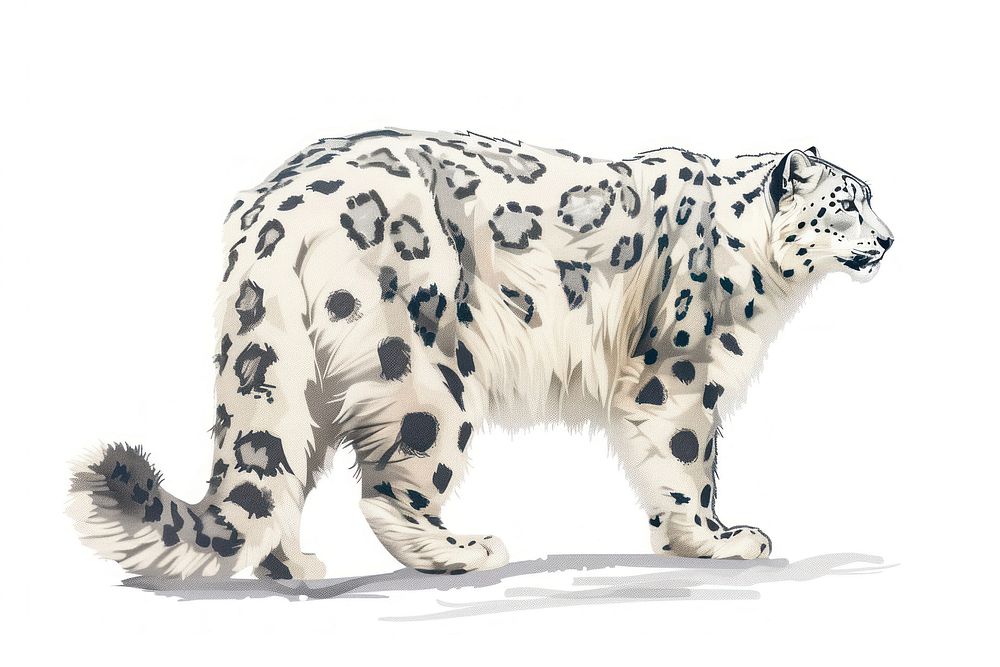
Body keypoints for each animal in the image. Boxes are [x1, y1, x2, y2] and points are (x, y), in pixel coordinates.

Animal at [68, 128, 894, 579]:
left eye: (868, 198)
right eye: (846, 205)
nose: (889, 238)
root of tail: (276, 200)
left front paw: (681, 539)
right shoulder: (680, 370)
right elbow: (690, 459)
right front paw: (717, 539)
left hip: (301, 370)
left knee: (283, 461)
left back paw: (290, 562)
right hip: (423, 365)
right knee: (390, 481)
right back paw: (462, 548)